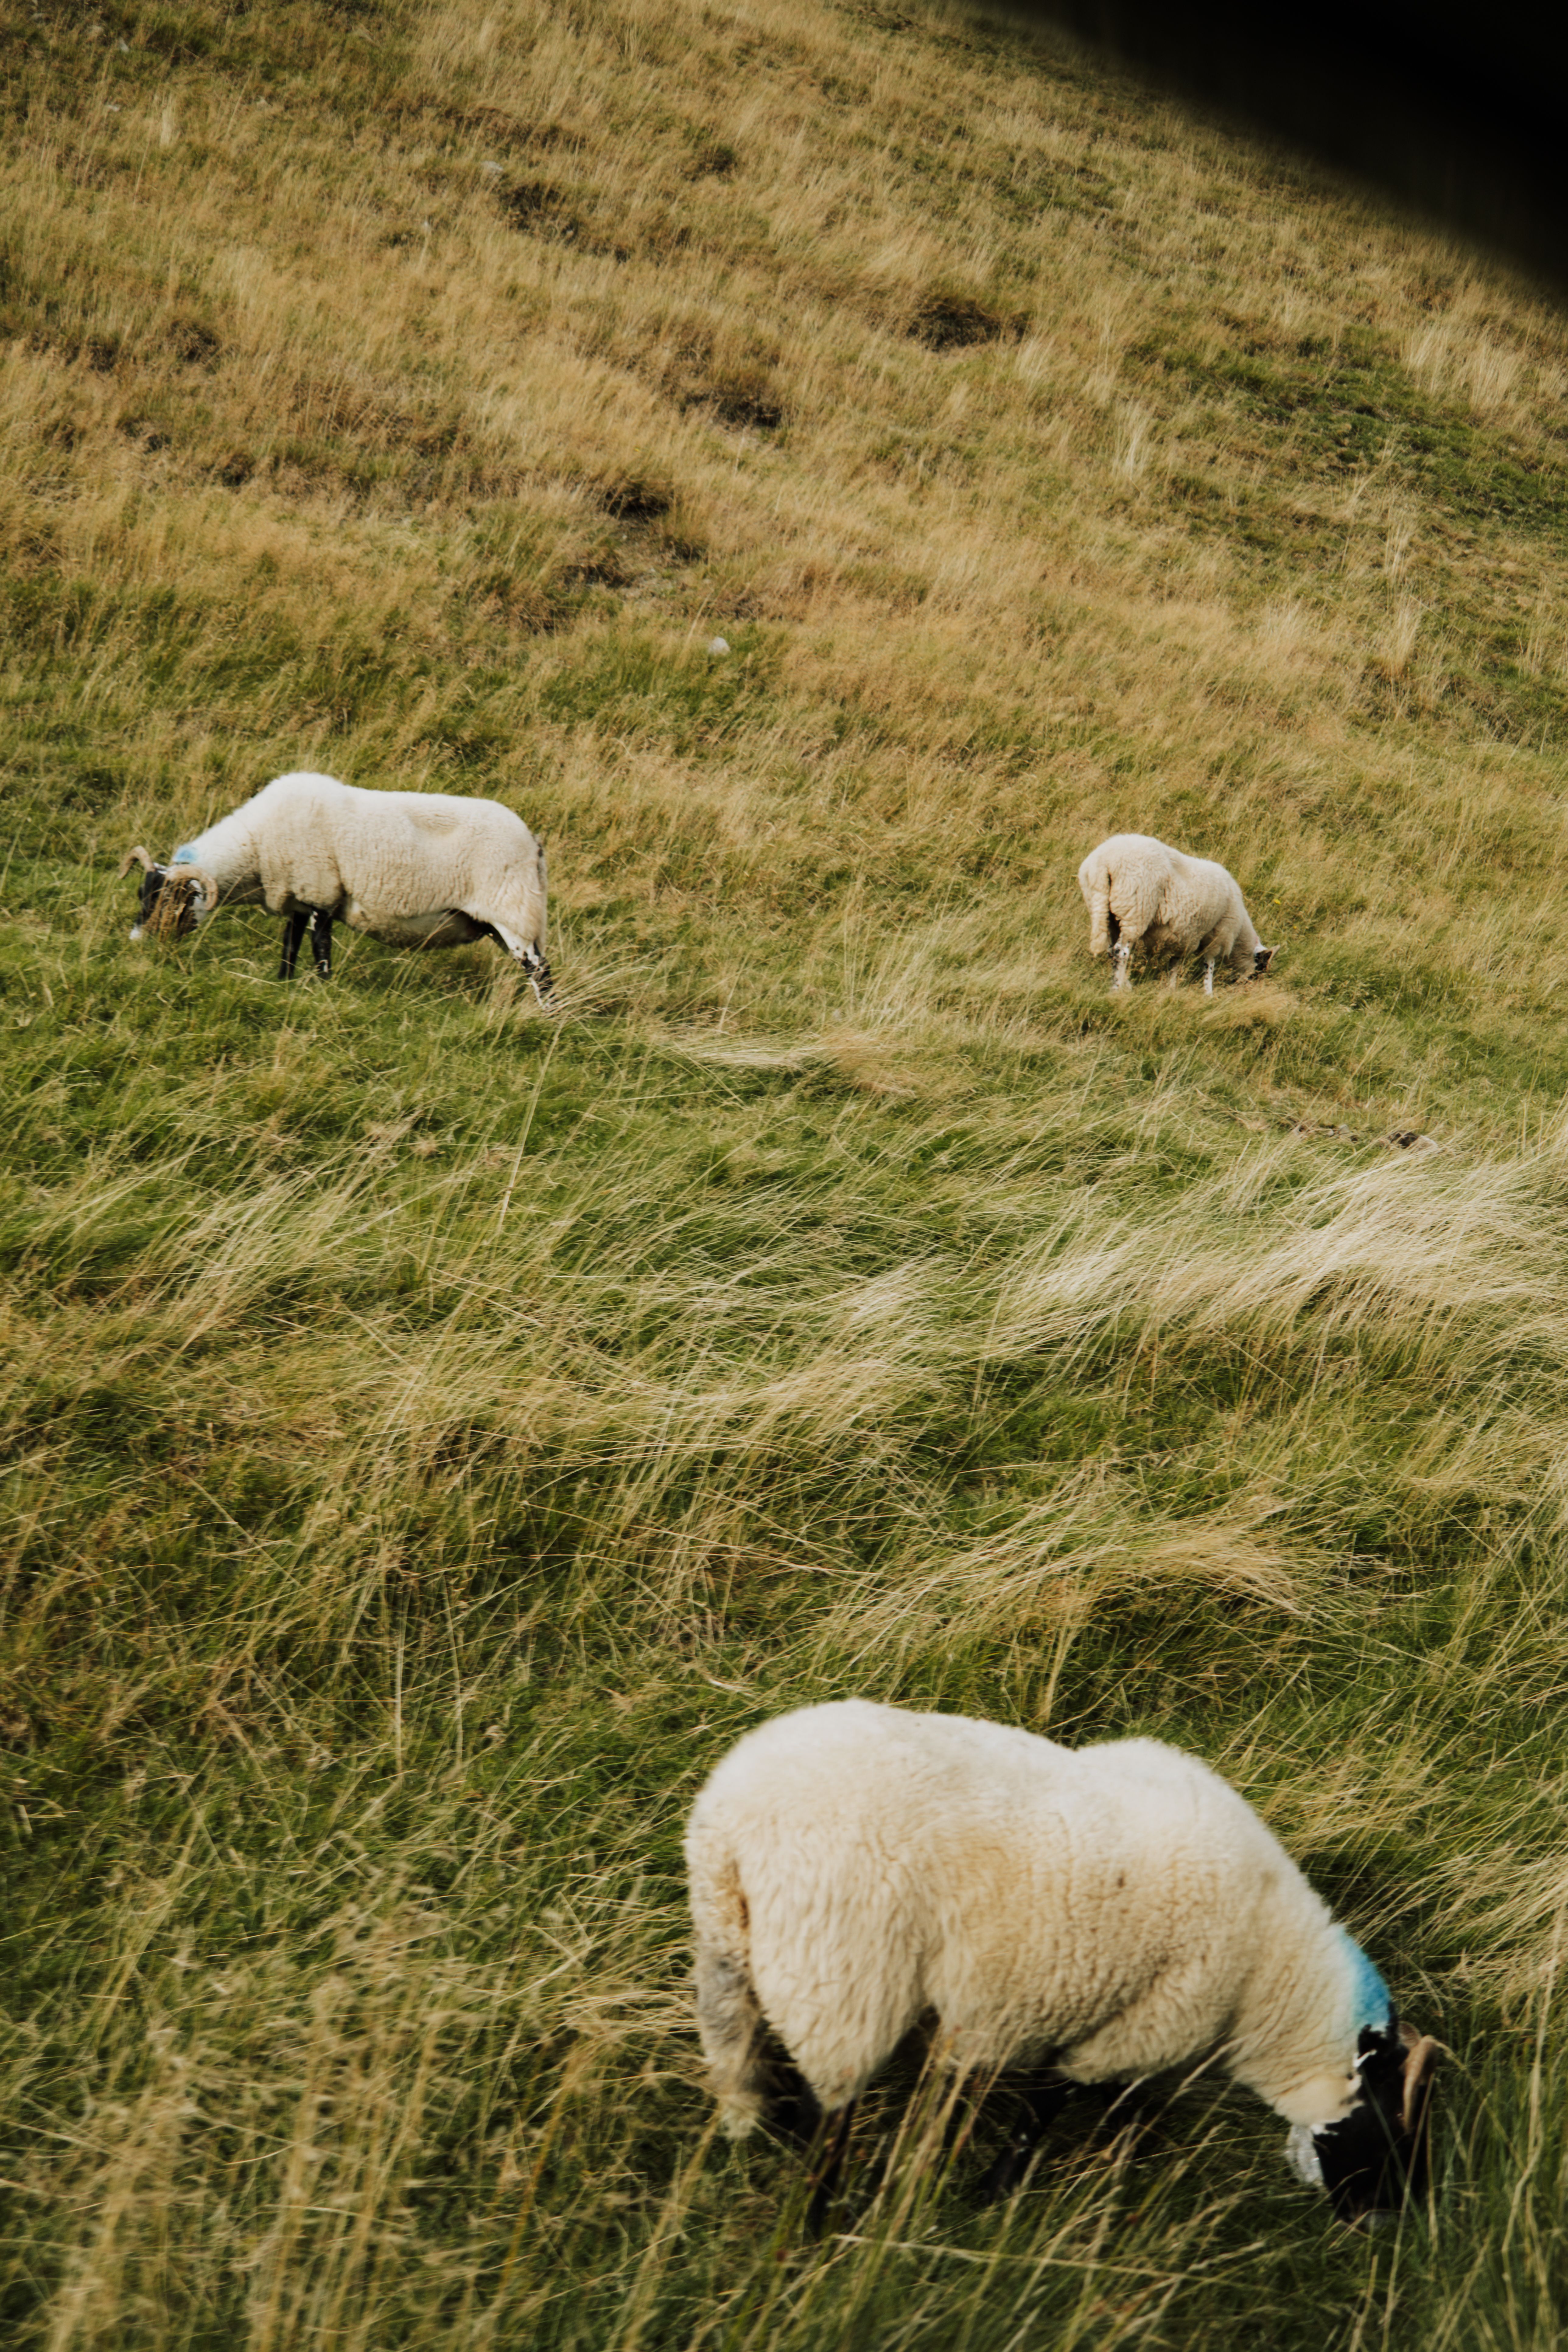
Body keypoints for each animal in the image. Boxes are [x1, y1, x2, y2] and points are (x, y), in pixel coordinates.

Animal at [120, 771, 551, 1000]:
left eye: (170, 901)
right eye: (143, 895)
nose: (137, 944)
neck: (255, 847)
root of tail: (534, 844)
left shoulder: (321, 894)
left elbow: (320, 949)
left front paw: (323, 992)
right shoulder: (296, 899)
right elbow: (290, 948)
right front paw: (284, 985)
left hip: (514, 913)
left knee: (541, 972)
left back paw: (548, 1020)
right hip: (497, 923)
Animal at [686, 1700, 1436, 2230]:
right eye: (1389, 2126)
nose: (1380, 2221)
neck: (1267, 1974)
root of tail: (730, 1818)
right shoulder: (1134, 2028)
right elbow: (1049, 2104)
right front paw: (998, 2191)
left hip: (729, 1951)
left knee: (750, 2056)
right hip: (843, 1974)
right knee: (829, 2114)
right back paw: (820, 2222)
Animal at [1077, 832, 1275, 994]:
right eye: (1260, 970)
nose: (1251, 992)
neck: (1241, 932)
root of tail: (1105, 861)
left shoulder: (1186, 936)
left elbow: (1175, 964)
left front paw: (1171, 989)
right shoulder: (1217, 935)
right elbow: (1208, 966)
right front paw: (1208, 994)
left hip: (1105, 909)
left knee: (1112, 951)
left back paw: (1121, 983)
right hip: (1136, 911)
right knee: (1121, 952)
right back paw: (1118, 989)